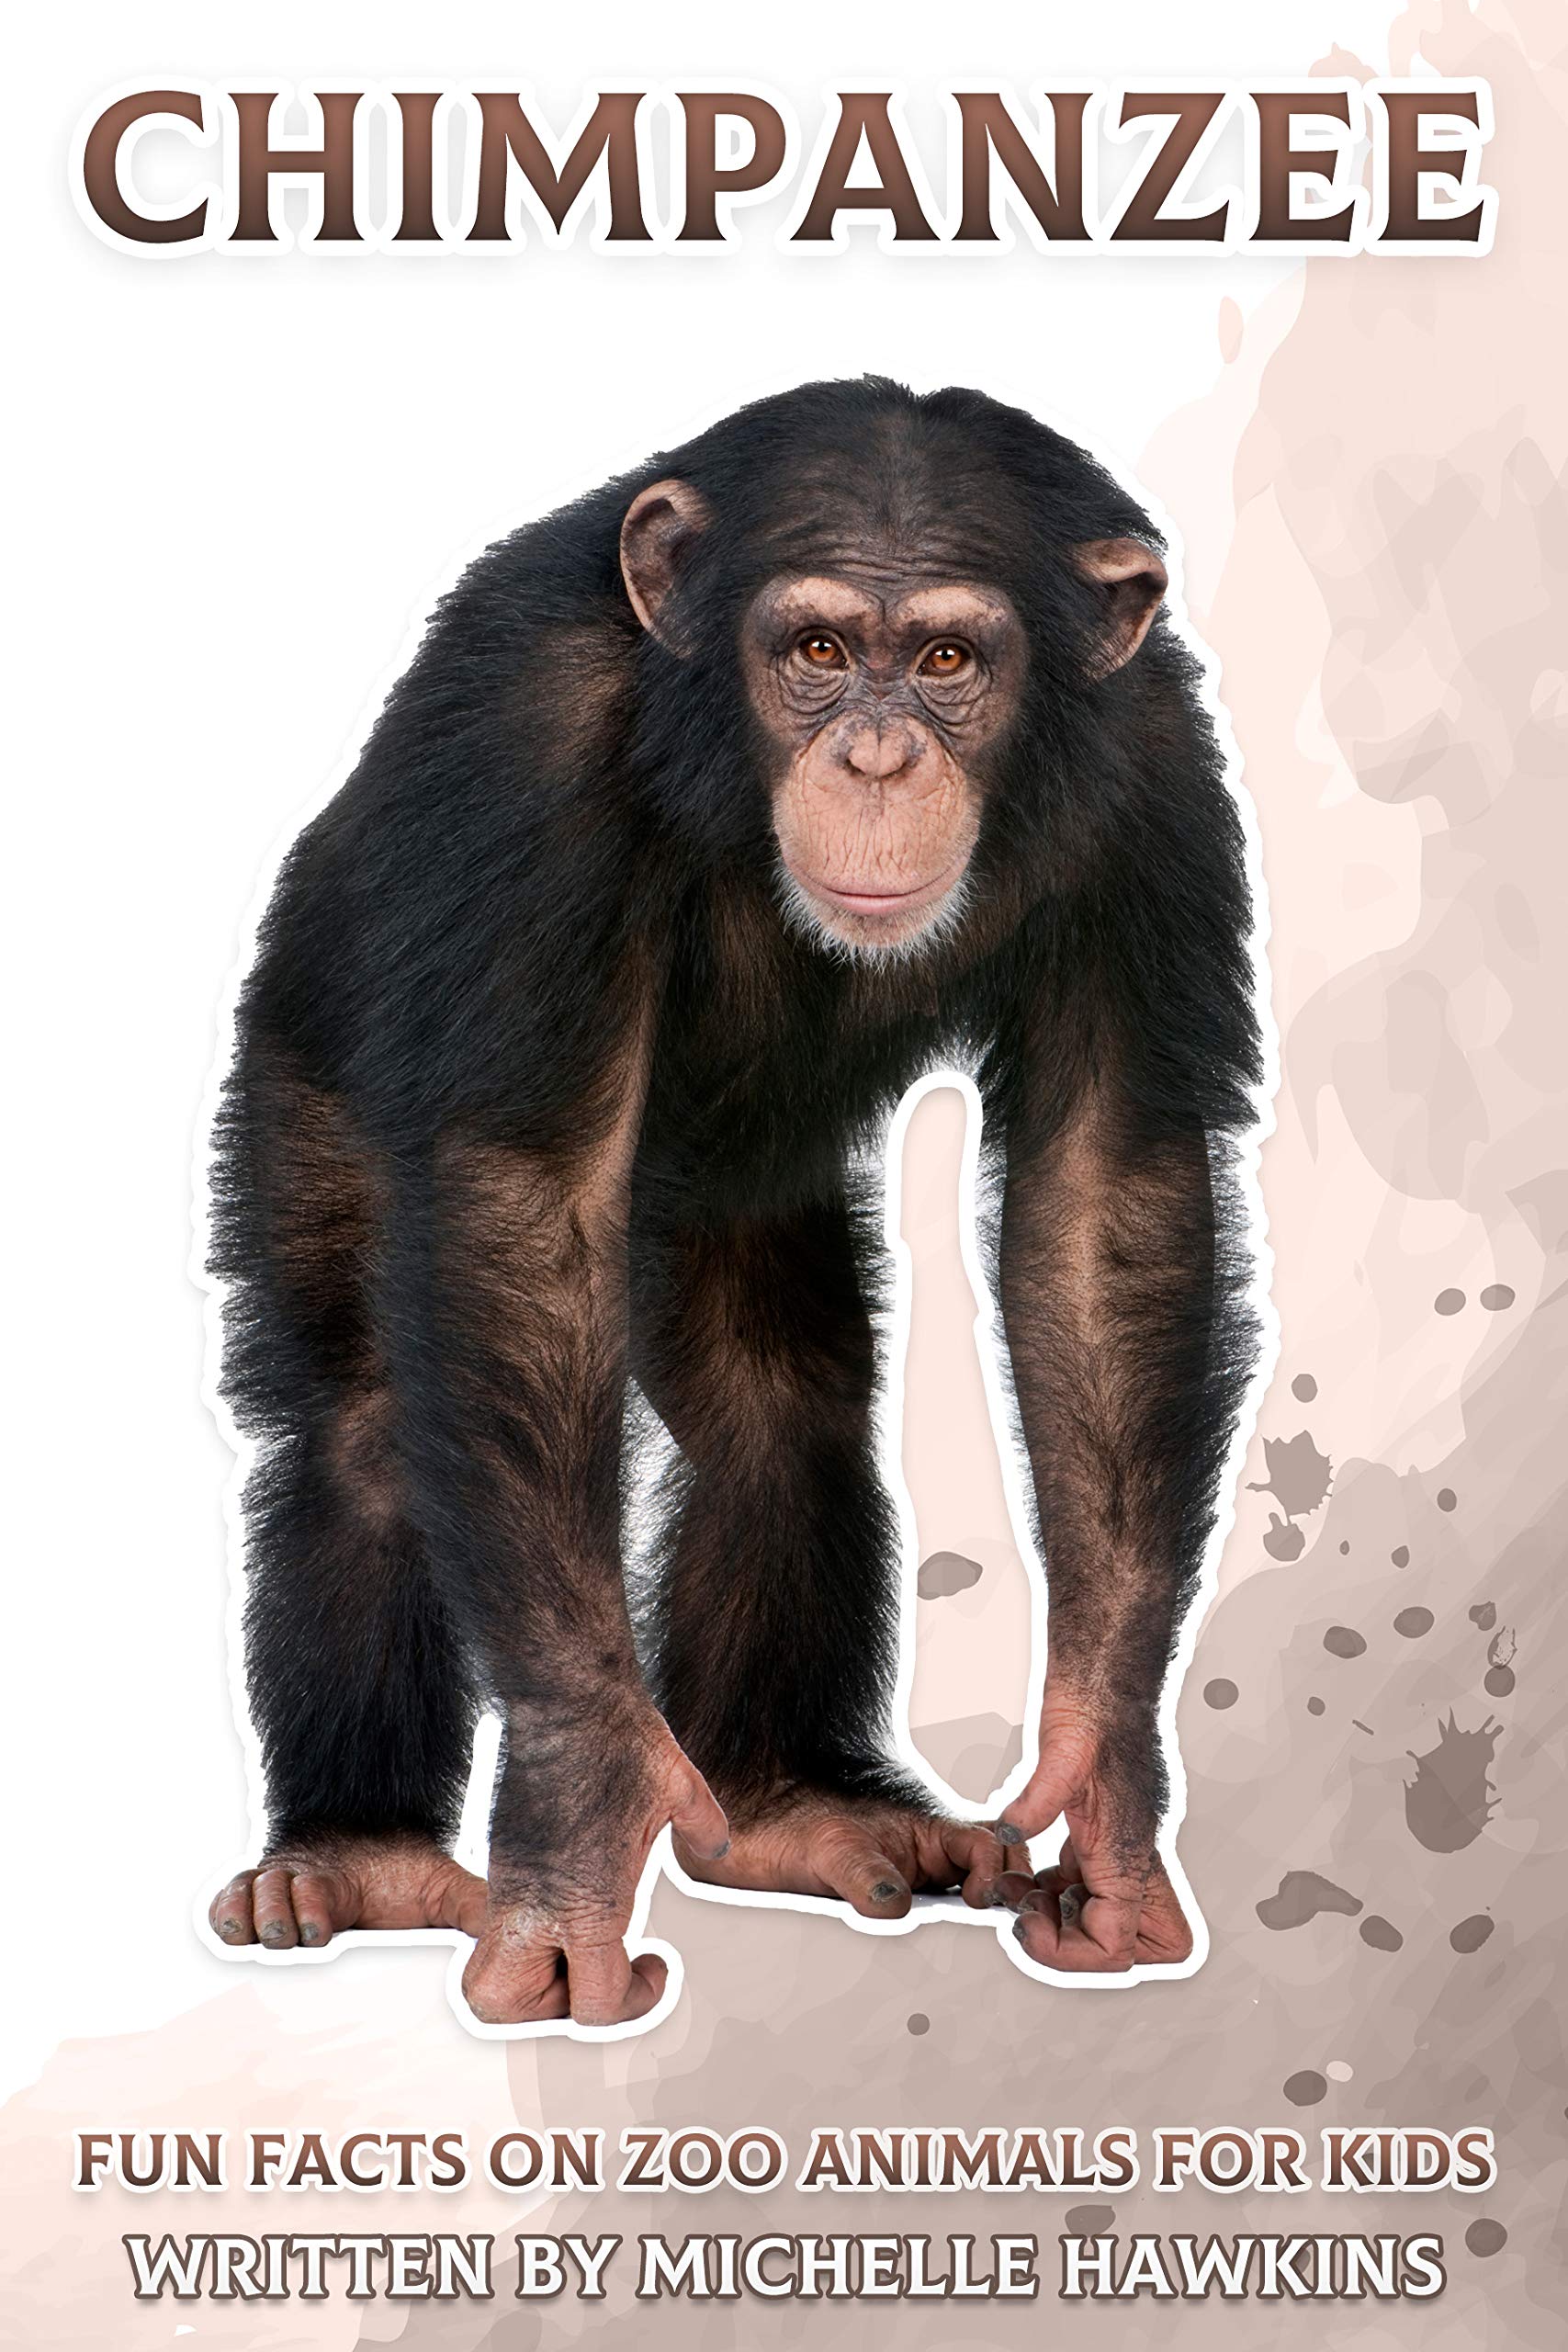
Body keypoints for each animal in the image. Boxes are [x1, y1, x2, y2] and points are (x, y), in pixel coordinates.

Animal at [206, 376, 1261, 2025]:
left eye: (946, 661)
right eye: (815, 652)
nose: (878, 759)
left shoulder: (1152, 771)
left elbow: (1106, 1195)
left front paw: (1105, 1785)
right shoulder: (524, 731)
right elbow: (518, 1199)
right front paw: (582, 1815)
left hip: (728, 1199)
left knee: (781, 1402)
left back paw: (778, 1807)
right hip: (304, 1054)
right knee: (364, 1419)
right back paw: (358, 1853)